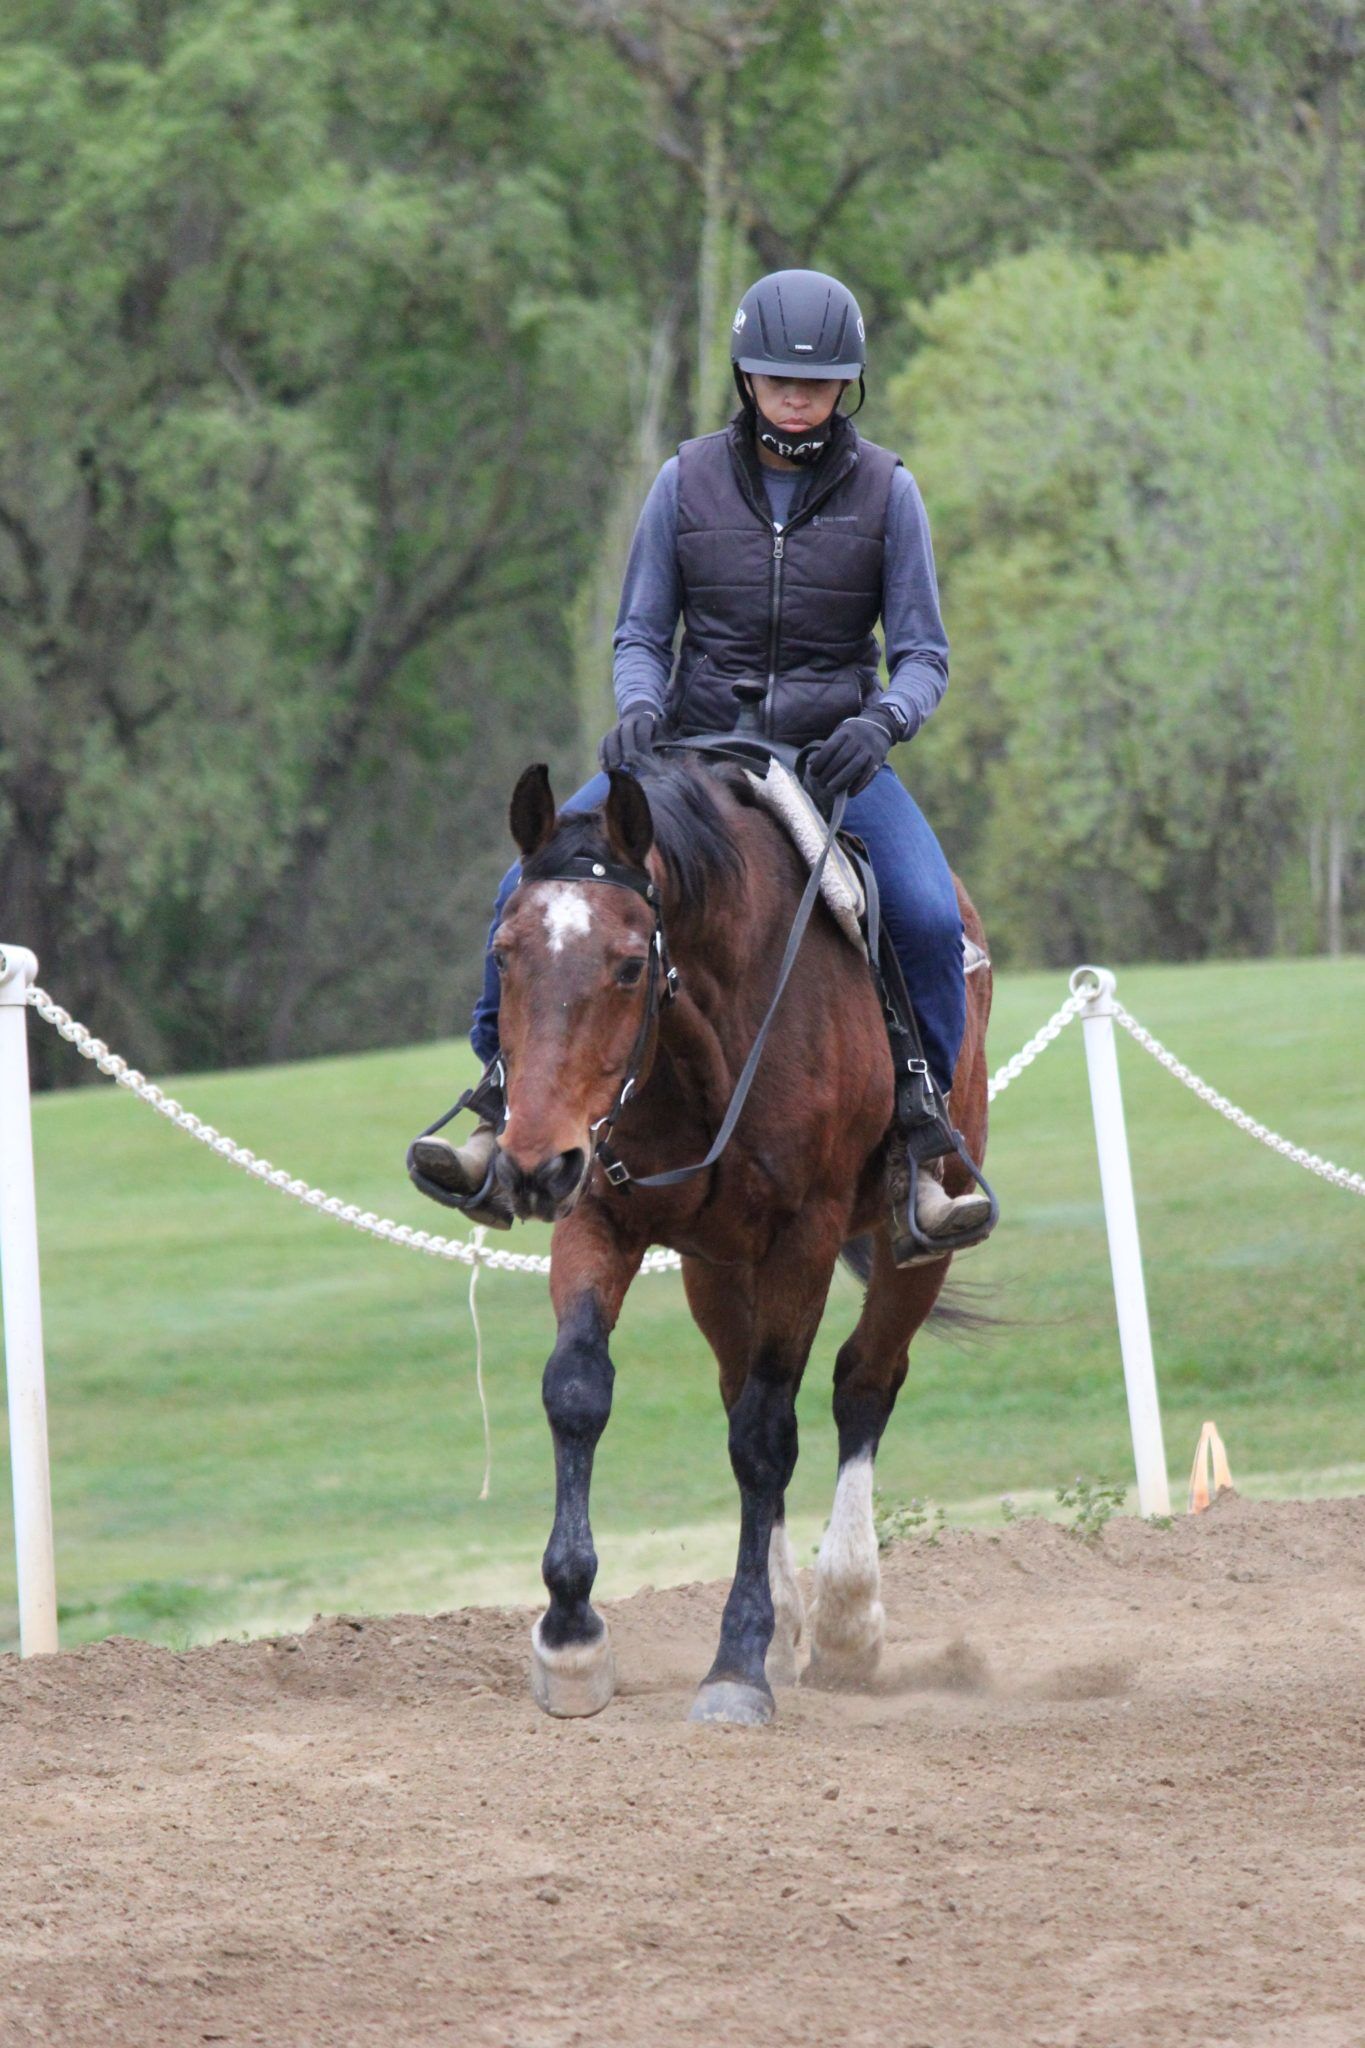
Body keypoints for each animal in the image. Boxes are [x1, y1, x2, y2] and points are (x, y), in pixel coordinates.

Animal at [489, 753, 992, 1726]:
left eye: (626, 966)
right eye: (502, 955)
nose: (532, 1163)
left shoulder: (806, 1234)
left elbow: (768, 1435)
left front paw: (736, 1662)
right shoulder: (599, 1210)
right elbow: (577, 1390)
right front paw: (570, 1636)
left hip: (921, 1230)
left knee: (862, 1384)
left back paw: (844, 1620)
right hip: (713, 1264)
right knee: (738, 1389)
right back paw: (799, 1617)